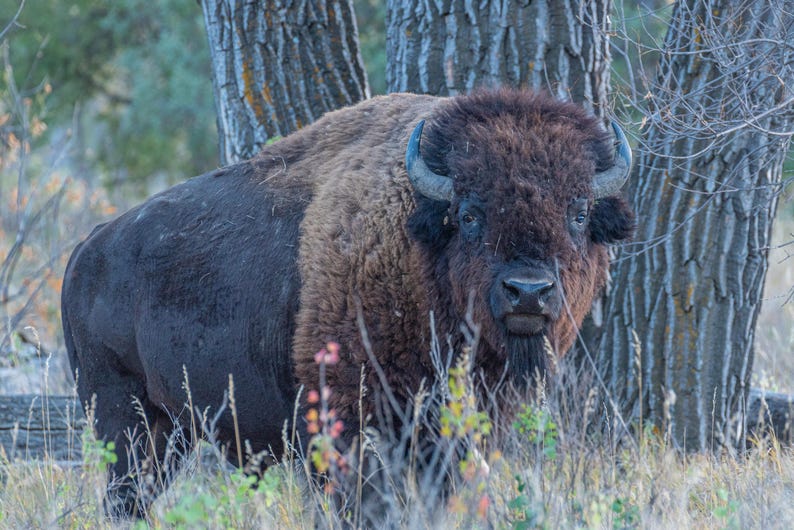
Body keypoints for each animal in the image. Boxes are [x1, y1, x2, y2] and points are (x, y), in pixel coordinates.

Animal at [61, 88, 634, 516]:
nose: (528, 292)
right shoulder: (347, 422)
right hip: (121, 415)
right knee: (124, 494)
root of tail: (85, 250)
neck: (417, 241)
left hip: (173, 427)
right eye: (470, 213)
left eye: (579, 213)